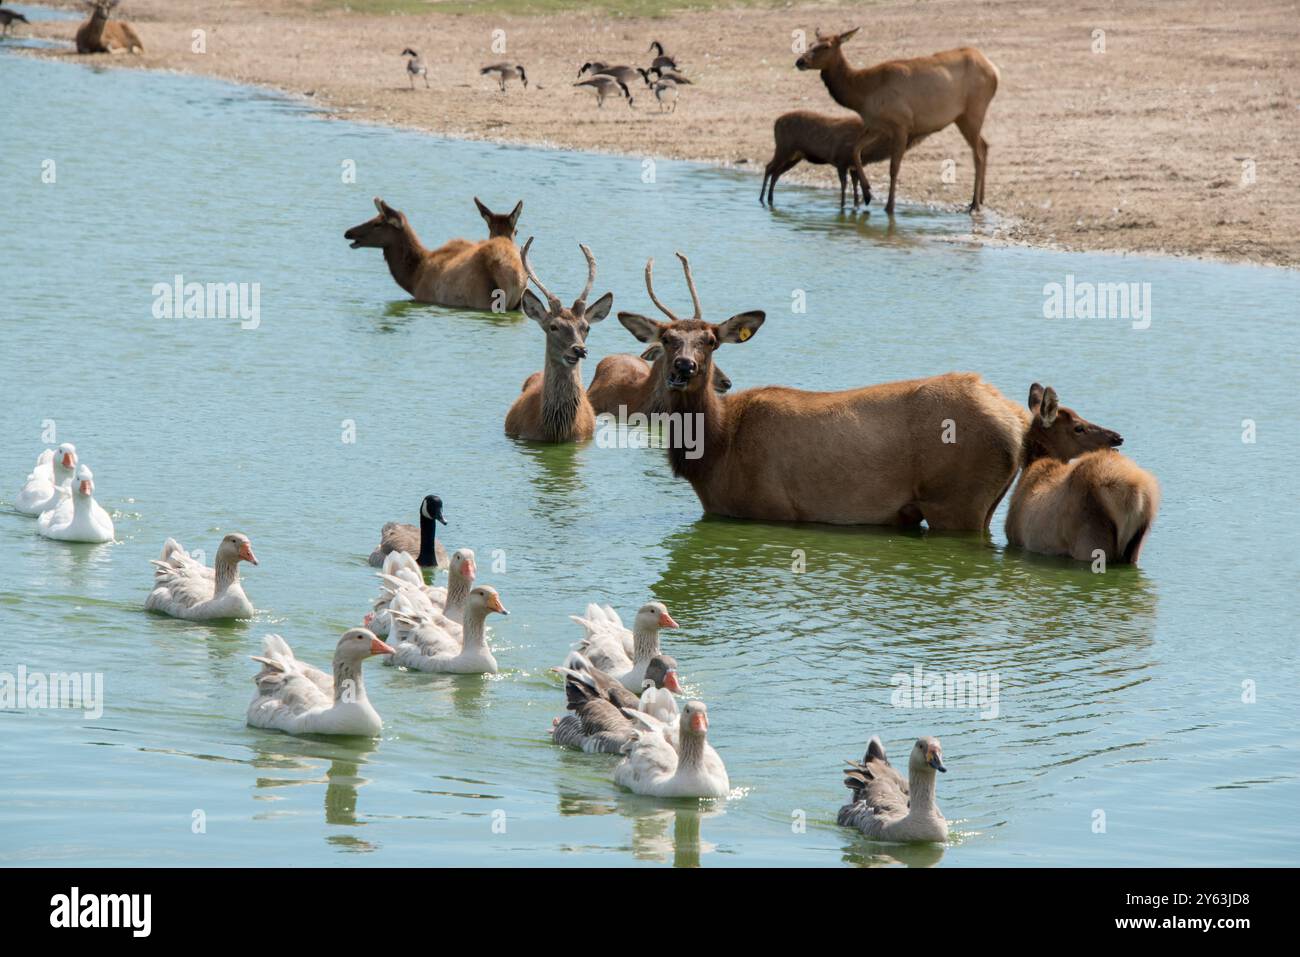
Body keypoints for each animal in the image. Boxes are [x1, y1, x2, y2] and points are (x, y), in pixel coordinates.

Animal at [344, 197, 527, 311]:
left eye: (377, 223)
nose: (348, 232)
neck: (414, 277)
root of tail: (515, 276)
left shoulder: (423, 296)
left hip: (484, 299)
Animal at [615, 254, 1029, 530]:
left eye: (711, 341)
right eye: (667, 339)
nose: (685, 367)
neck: (714, 453)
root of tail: (1017, 421)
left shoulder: (769, 508)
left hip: (957, 501)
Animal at [762, 110, 929, 207]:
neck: (869, 152)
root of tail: (775, 122)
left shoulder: (853, 165)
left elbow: (854, 185)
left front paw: (855, 205)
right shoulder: (840, 160)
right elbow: (844, 185)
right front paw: (843, 207)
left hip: (795, 155)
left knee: (775, 172)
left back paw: (768, 198)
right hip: (784, 148)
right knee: (769, 167)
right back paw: (763, 198)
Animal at [795, 28, 999, 214]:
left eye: (826, 46)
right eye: (810, 43)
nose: (800, 61)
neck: (863, 94)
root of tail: (995, 71)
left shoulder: (901, 124)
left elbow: (894, 168)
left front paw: (889, 206)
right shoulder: (876, 125)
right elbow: (855, 150)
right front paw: (867, 194)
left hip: (974, 111)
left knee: (978, 153)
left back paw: (974, 204)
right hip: (963, 117)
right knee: (985, 145)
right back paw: (981, 199)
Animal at [1006, 384, 1160, 565]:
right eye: (1079, 427)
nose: (1117, 437)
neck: (1033, 464)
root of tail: (1135, 494)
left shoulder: (1015, 539)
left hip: (1090, 541)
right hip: (1135, 545)